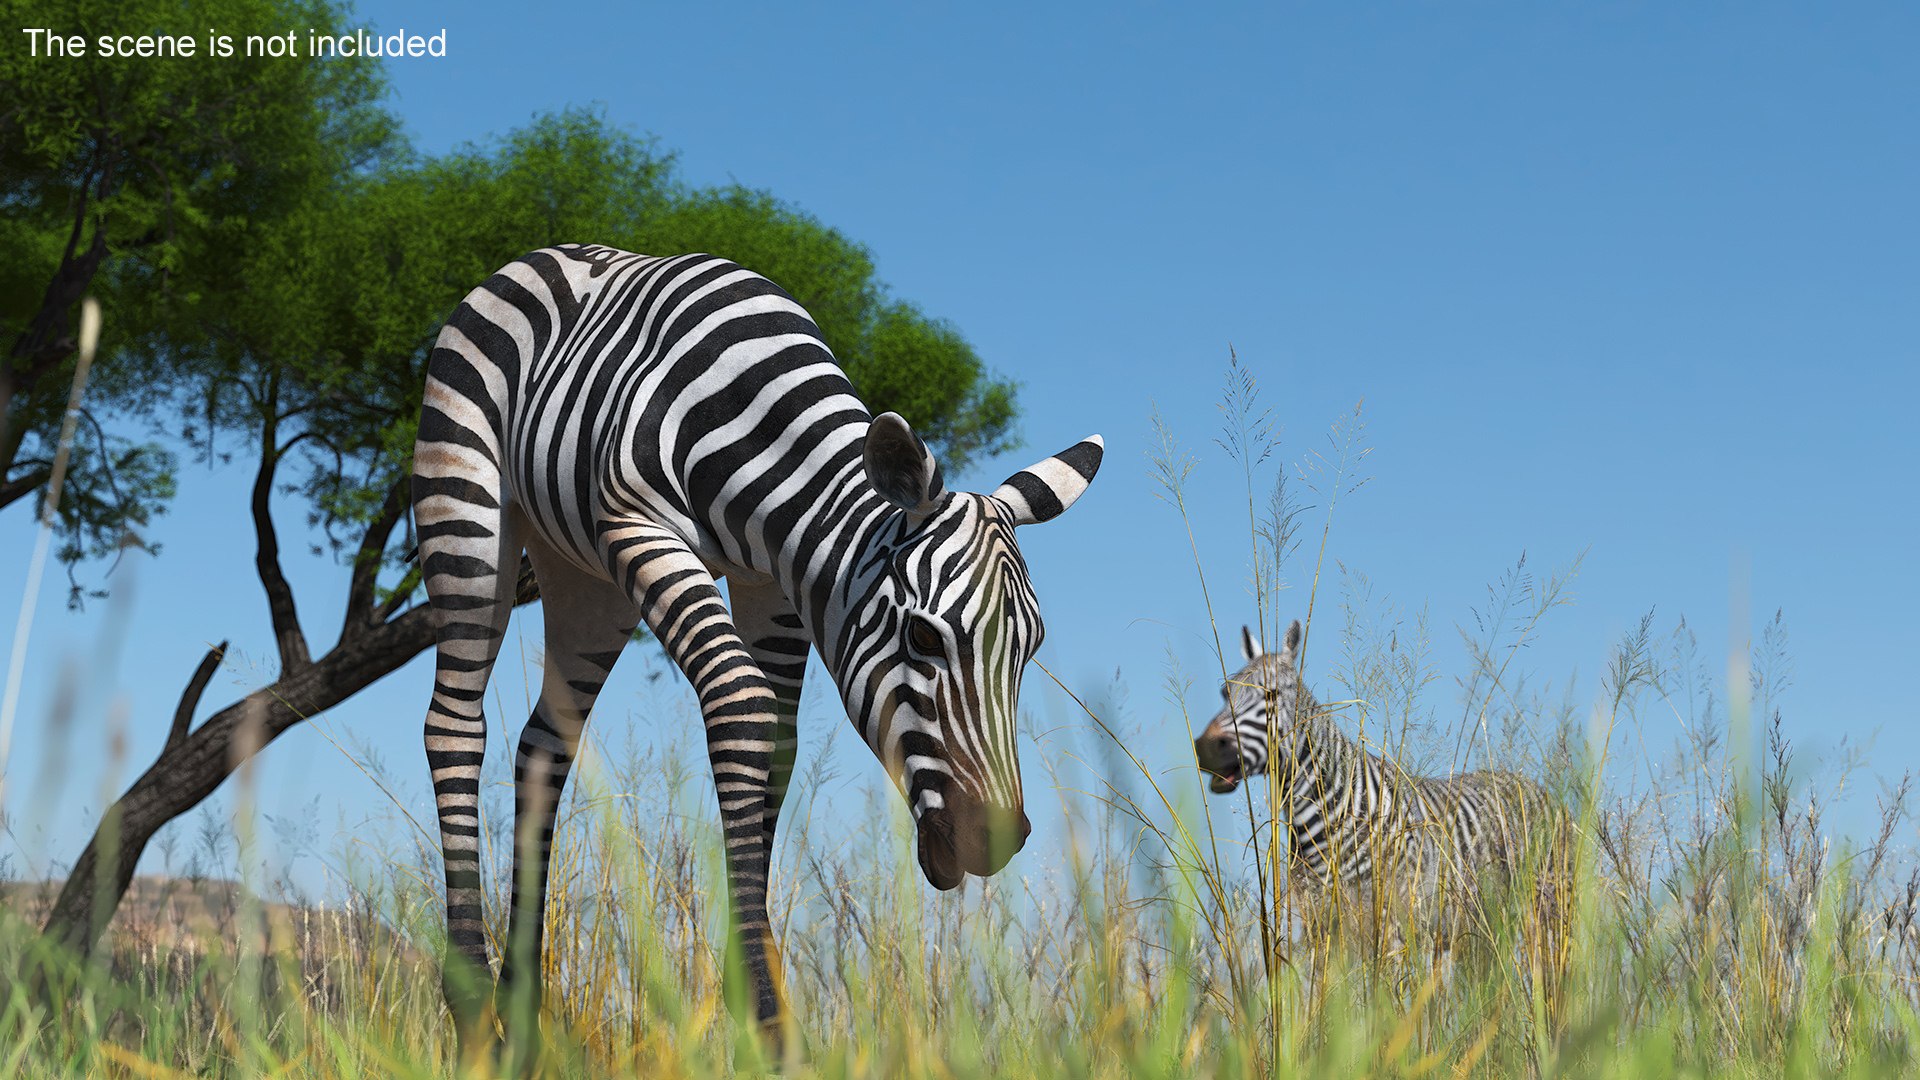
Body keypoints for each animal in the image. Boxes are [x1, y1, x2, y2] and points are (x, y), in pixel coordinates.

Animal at [413, 245, 1102, 1050]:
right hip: (466, 504)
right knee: (455, 724)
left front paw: (751, 1002)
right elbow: (742, 708)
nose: (993, 844)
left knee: (544, 744)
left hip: (582, 577)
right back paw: (472, 1006)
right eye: (923, 635)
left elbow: (775, 747)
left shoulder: (778, 586)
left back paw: (523, 1017)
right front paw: (768, 1022)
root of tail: (551, 251)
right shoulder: (641, 531)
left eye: (1030, 648)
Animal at [1193, 619, 1571, 962]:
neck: (1329, 815)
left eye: (1270, 695)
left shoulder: (1391, 925)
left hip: (1549, 908)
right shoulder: (1322, 927)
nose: (1206, 749)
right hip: (1484, 926)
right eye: (1225, 693)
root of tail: (1531, 784)